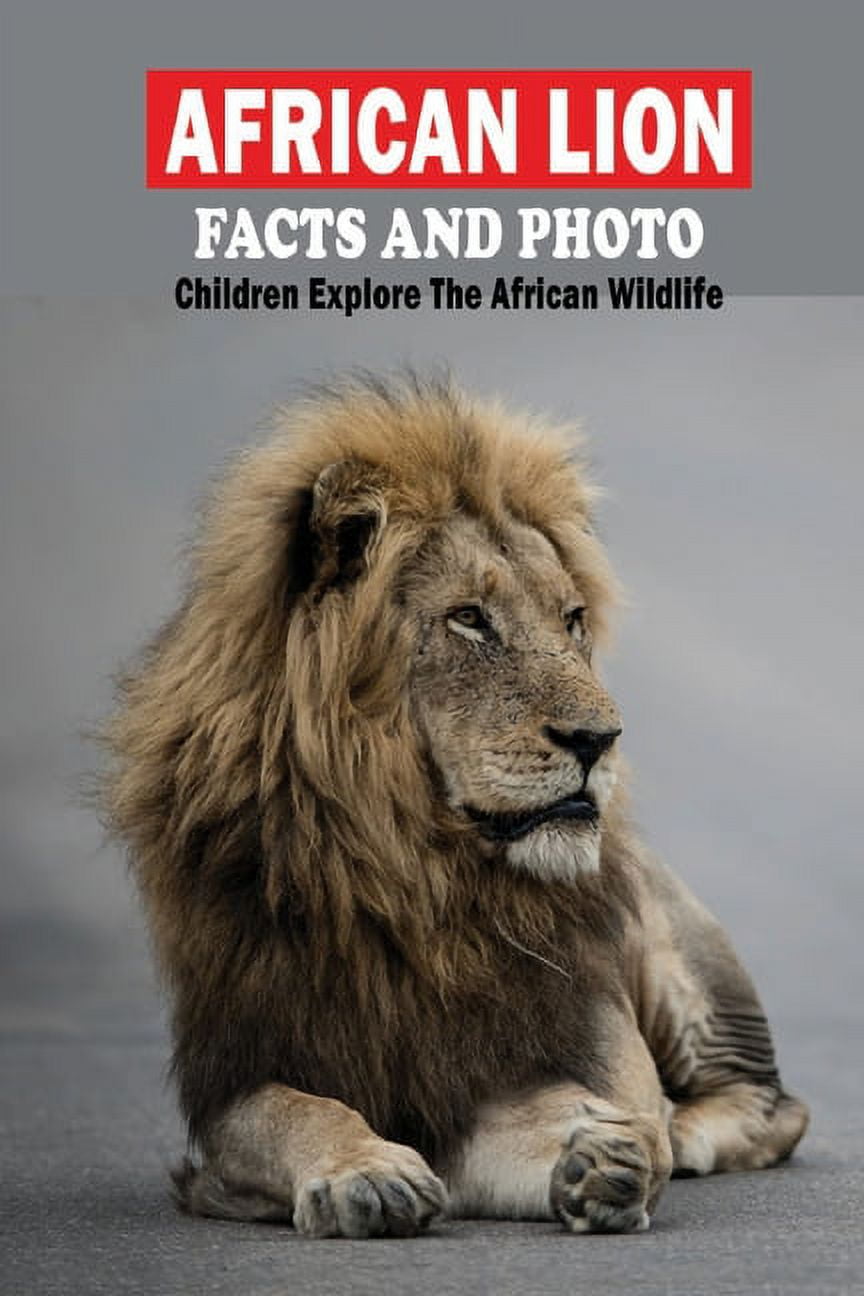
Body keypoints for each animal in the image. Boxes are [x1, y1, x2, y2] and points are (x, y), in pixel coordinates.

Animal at [103, 372, 808, 1237]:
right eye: (469, 619)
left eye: (572, 619)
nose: (600, 739)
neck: (421, 878)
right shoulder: (237, 1079)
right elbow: (297, 1113)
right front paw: (366, 1173)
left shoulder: (568, 1053)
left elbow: (545, 1129)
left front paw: (600, 1158)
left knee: (772, 1103)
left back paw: (684, 1128)